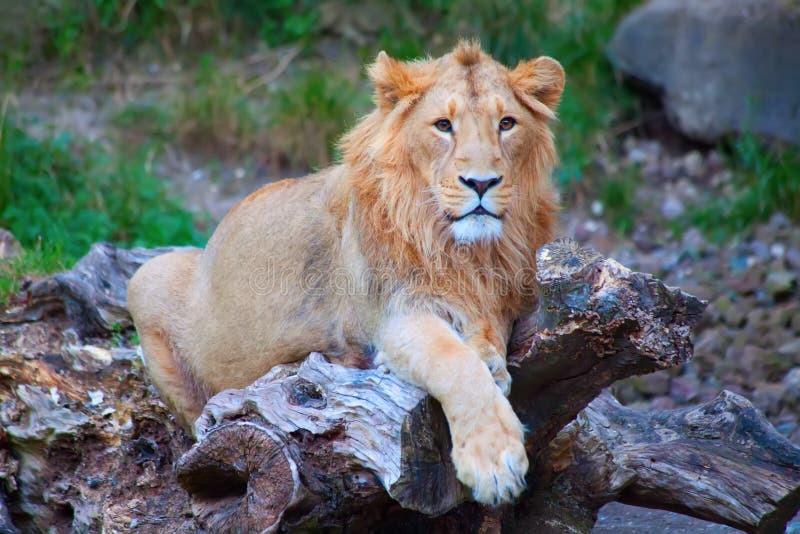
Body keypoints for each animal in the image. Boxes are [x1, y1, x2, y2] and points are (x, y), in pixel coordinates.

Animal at [127, 40, 563, 505]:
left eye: (506, 124)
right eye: (443, 125)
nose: (481, 183)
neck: (466, 249)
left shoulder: (505, 292)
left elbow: (488, 330)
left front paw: (491, 361)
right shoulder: (392, 316)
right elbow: (454, 364)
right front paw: (494, 461)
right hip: (147, 278)